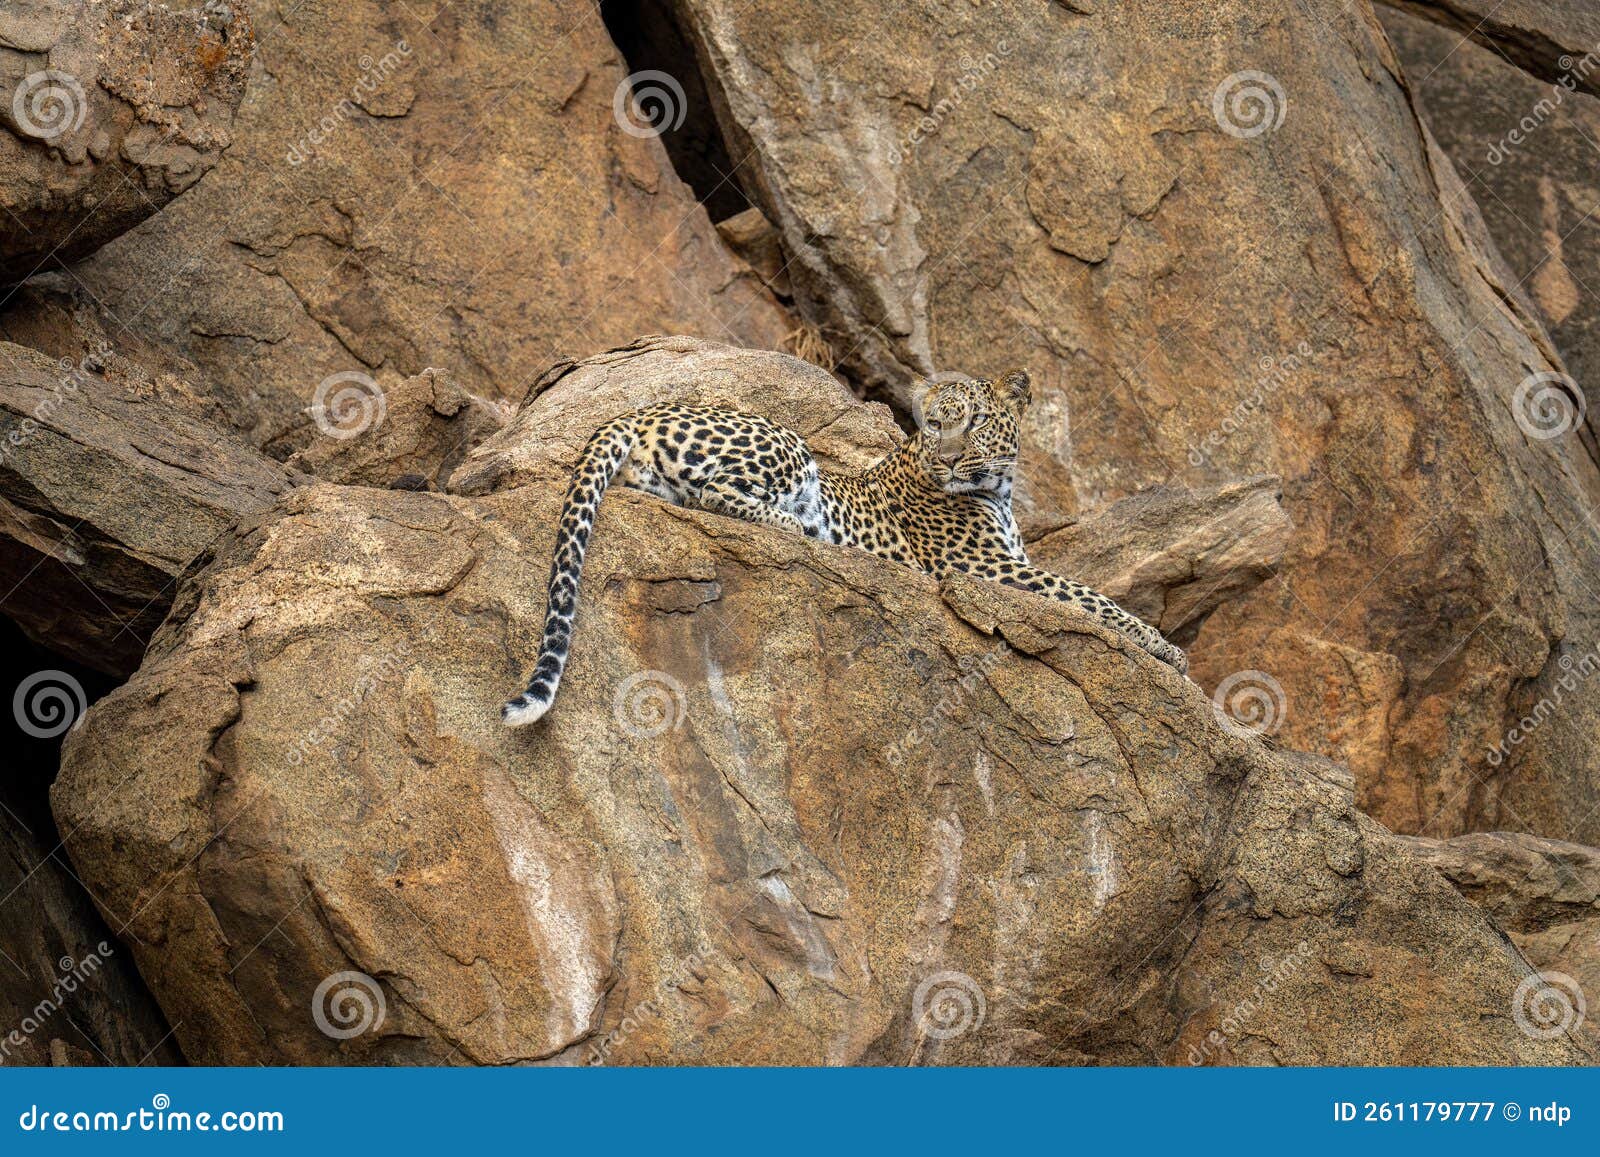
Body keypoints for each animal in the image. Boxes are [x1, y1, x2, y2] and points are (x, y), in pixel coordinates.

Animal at [502, 369, 1186, 726]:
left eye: (977, 423)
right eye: (937, 424)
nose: (948, 457)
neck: (998, 489)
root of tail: (638, 411)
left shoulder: (1004, 562)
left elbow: (1085, 592)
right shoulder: (983, 566)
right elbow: (1089, 595)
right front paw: (1165, 649)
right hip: (785, 444)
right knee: (716, 493)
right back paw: (800, 528)